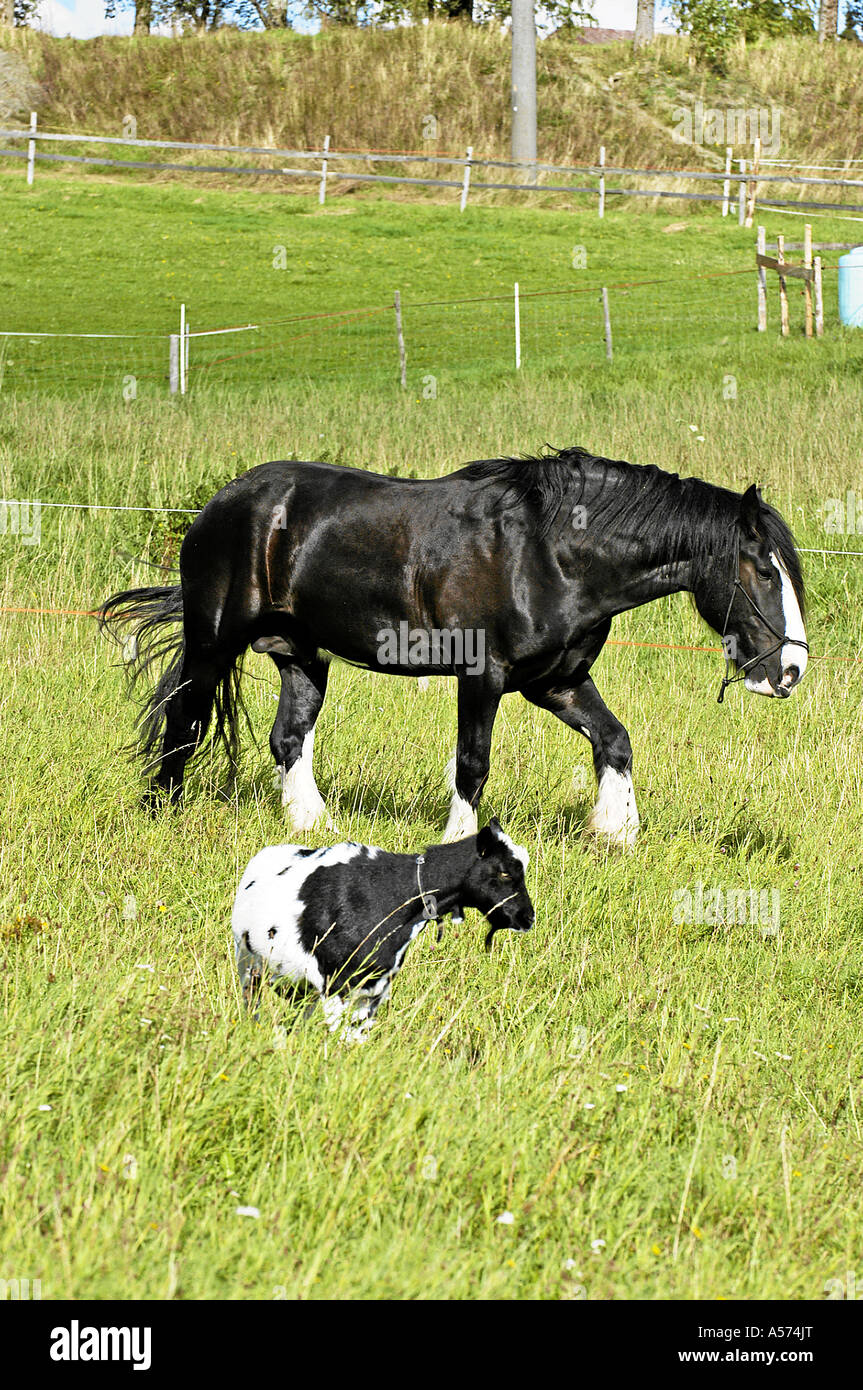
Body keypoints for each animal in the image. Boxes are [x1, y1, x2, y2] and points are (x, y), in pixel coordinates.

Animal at [99, 446, 808, 848]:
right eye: (763, 572)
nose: (792, 670)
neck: (552, 554)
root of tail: (221, 503)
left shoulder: (556, 682)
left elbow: (615, 741)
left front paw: (617, 833)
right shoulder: (481, 675)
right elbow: (472, 765)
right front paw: (460, 841)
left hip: (302, 655)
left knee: (287, 738)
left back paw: (313, 828)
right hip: (214, 641)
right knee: (182, 721)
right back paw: (161, 815)